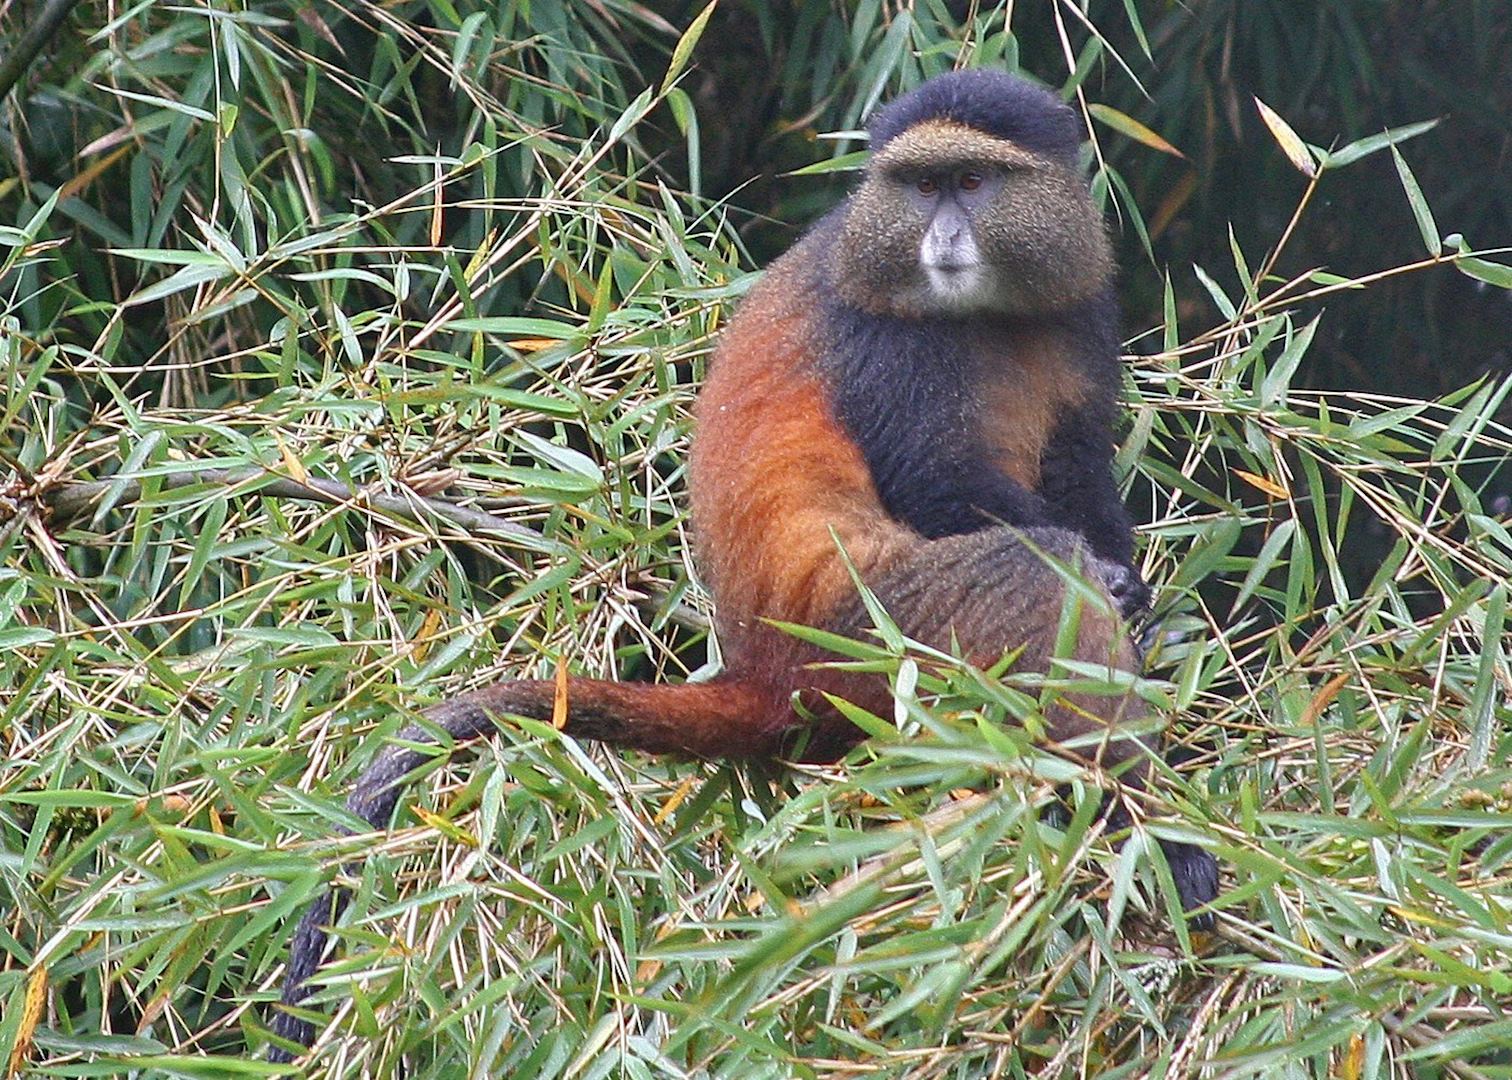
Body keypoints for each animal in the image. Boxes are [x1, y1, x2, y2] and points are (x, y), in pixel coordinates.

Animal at [267, 68, 1219, 1060]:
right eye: (922, 186)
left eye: (971, 182)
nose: (944, 238)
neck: (987, 314)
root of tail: (764, 672)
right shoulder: (886, 346)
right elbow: (943, 480)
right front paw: (1111, 590)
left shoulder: (1084, 310)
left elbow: (1077, 468)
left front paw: (1139, 594)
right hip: (873, 629)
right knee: (1035, 581)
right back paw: (1149, 833)